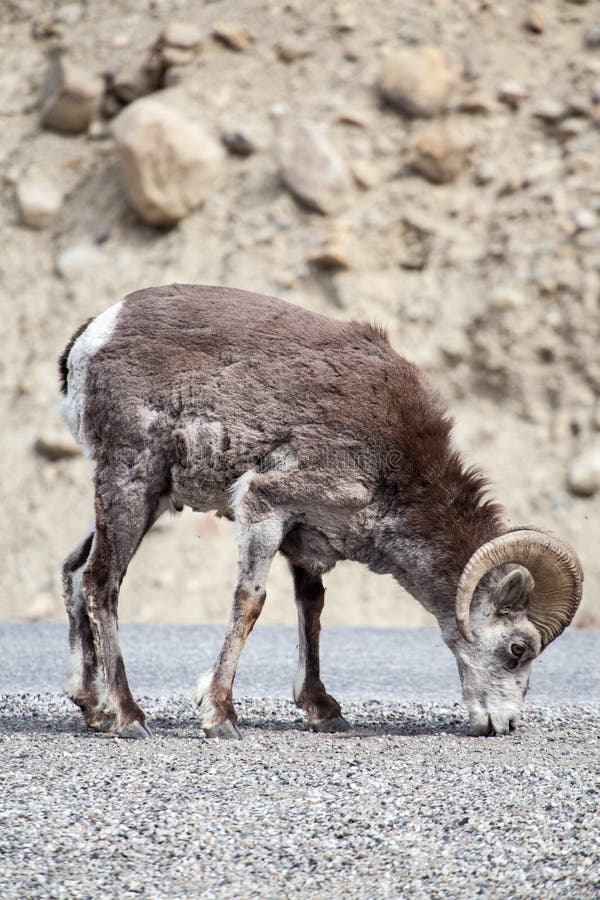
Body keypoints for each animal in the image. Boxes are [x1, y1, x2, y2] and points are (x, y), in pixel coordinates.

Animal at [59, 284, 583, 739]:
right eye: (518, 648)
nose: (503, 725)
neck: (392, 469)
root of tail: (94, 335)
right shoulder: (263, 505)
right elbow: (250, 602)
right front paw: (221, 716)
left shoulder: (305, 538)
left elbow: (311, 610)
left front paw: (323, 710)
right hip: (131, 483)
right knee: (100, 583)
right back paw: (129, 717)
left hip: (146, 499)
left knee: (75, 570)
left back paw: (93, 708)